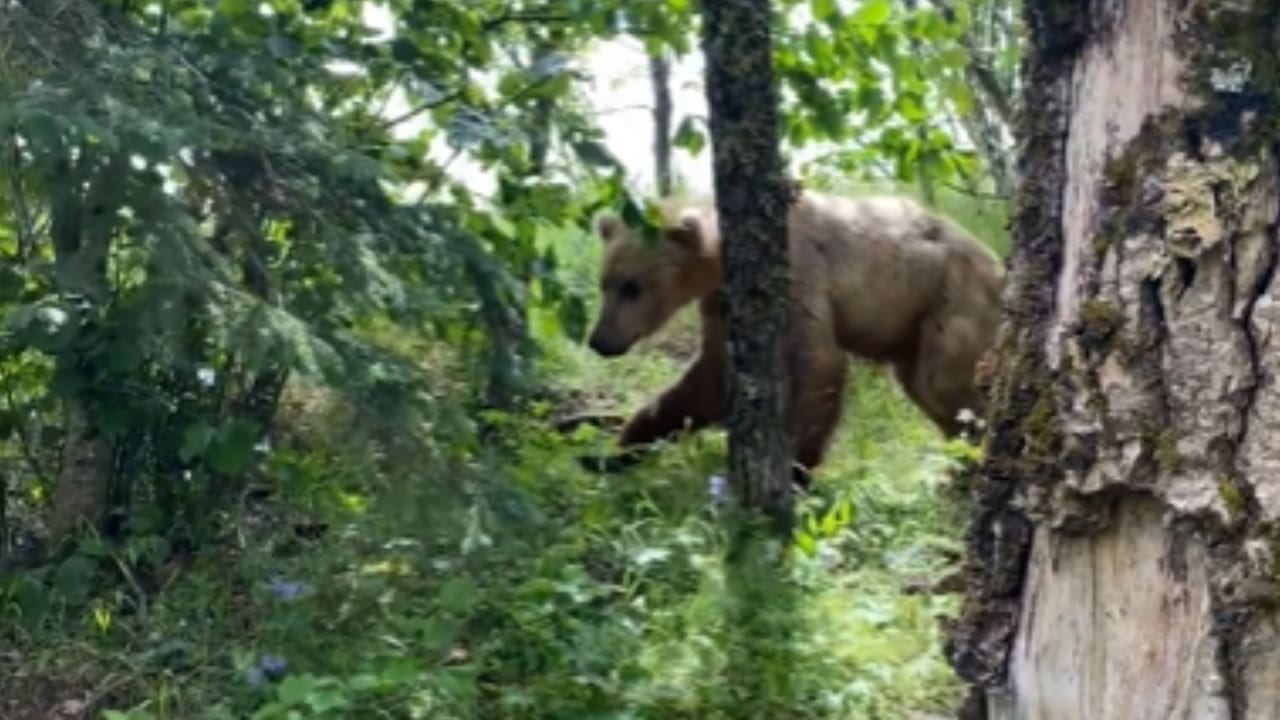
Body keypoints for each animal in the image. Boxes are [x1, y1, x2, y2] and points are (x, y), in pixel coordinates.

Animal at [585, 189, 1006, 487]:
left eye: (633, 287)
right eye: (605, 283)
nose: (600, 341)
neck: (724, 258)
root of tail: (1000, 268)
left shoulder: (795, 276)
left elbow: (820, 363)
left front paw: (795, 470)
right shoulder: (723, 305)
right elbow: (706, 382)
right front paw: (615, 451)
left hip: (952, 300)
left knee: (945, 385)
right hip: (912, 330)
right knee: (926, 390)